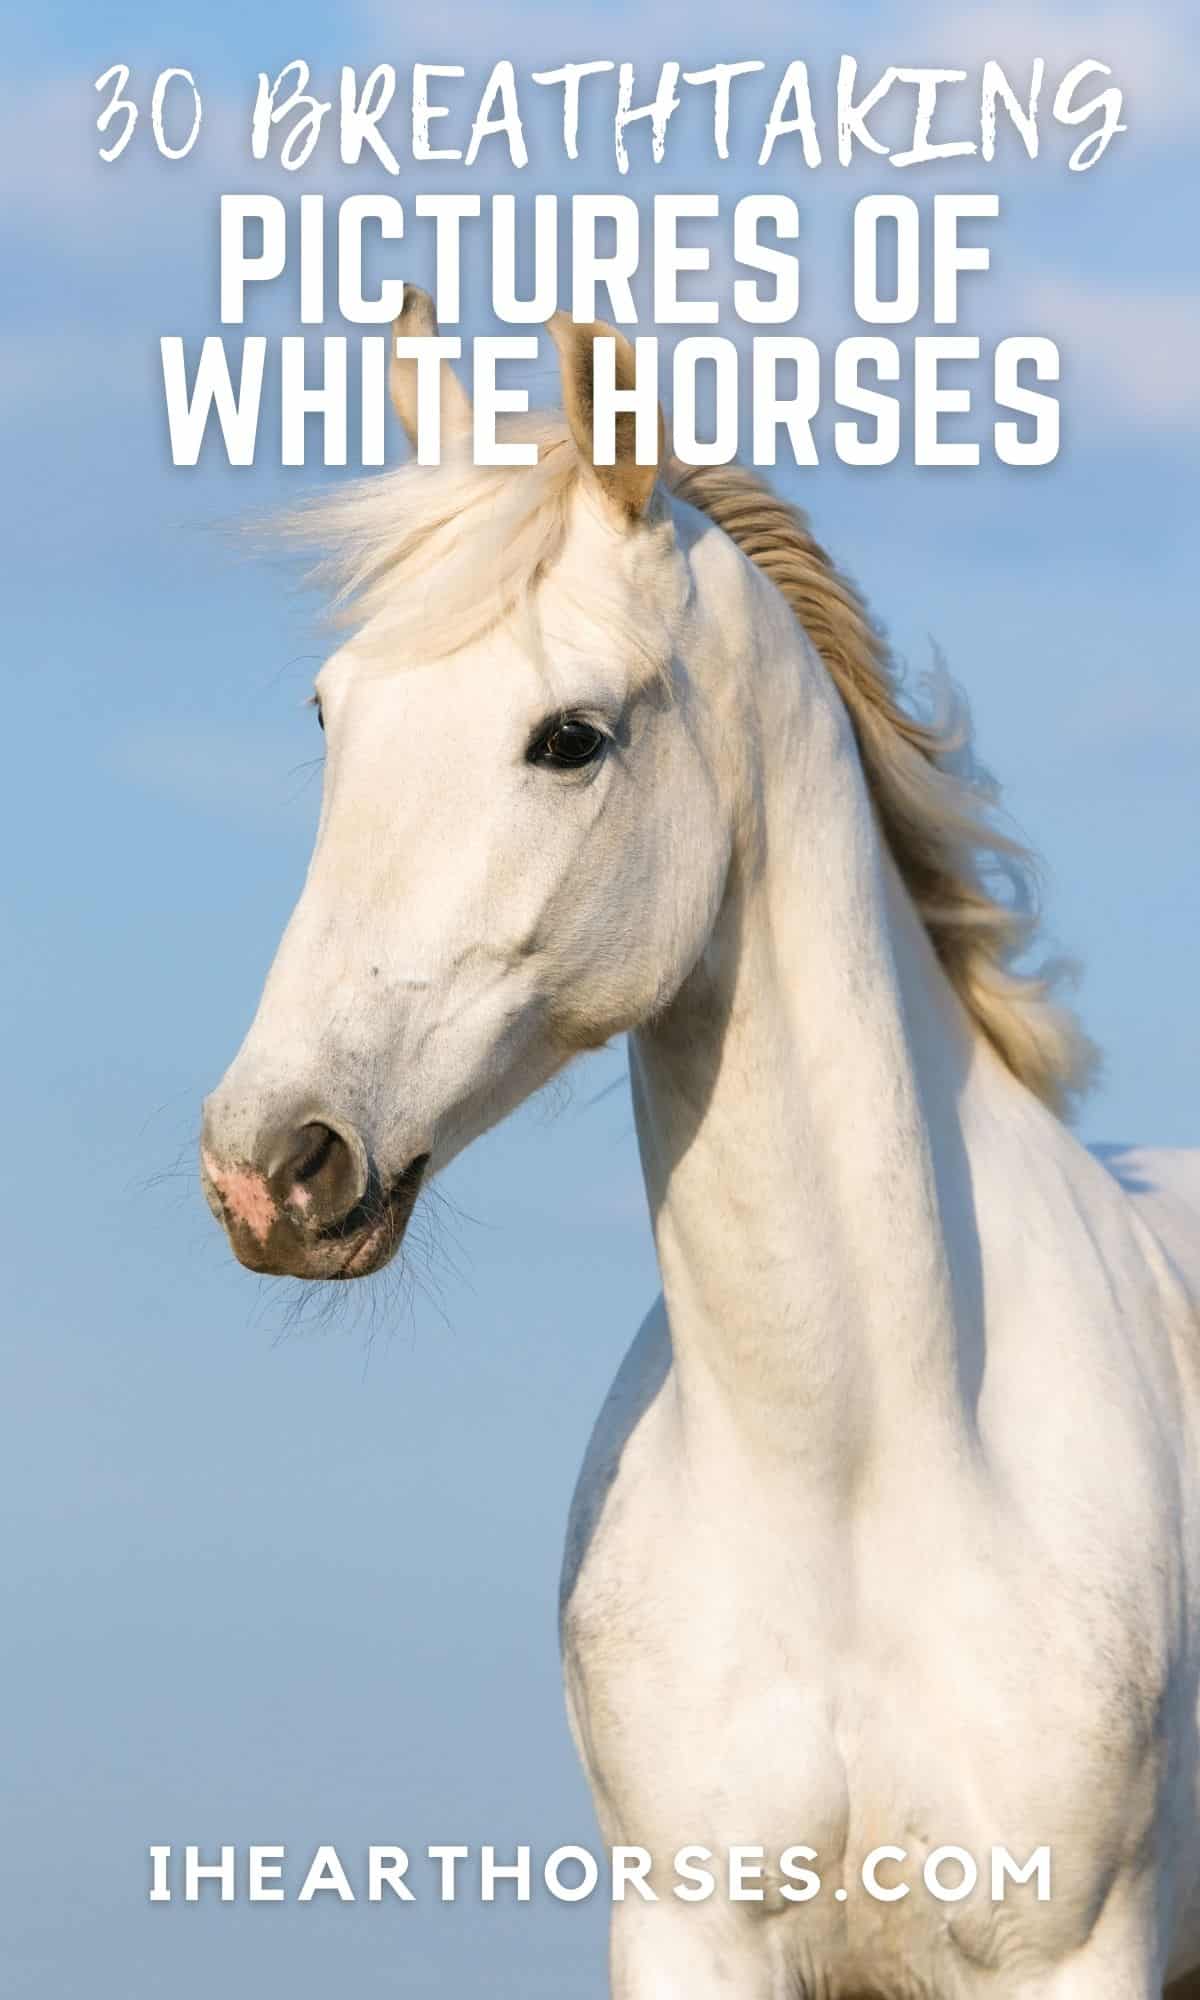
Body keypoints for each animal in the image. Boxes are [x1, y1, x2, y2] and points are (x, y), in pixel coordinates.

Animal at [200, 288, 1200, 1998]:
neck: (857, 1477)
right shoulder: (686, 1931)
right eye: (333, 712)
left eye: (570, 737)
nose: (271, 1163)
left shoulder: (1077, 1949)